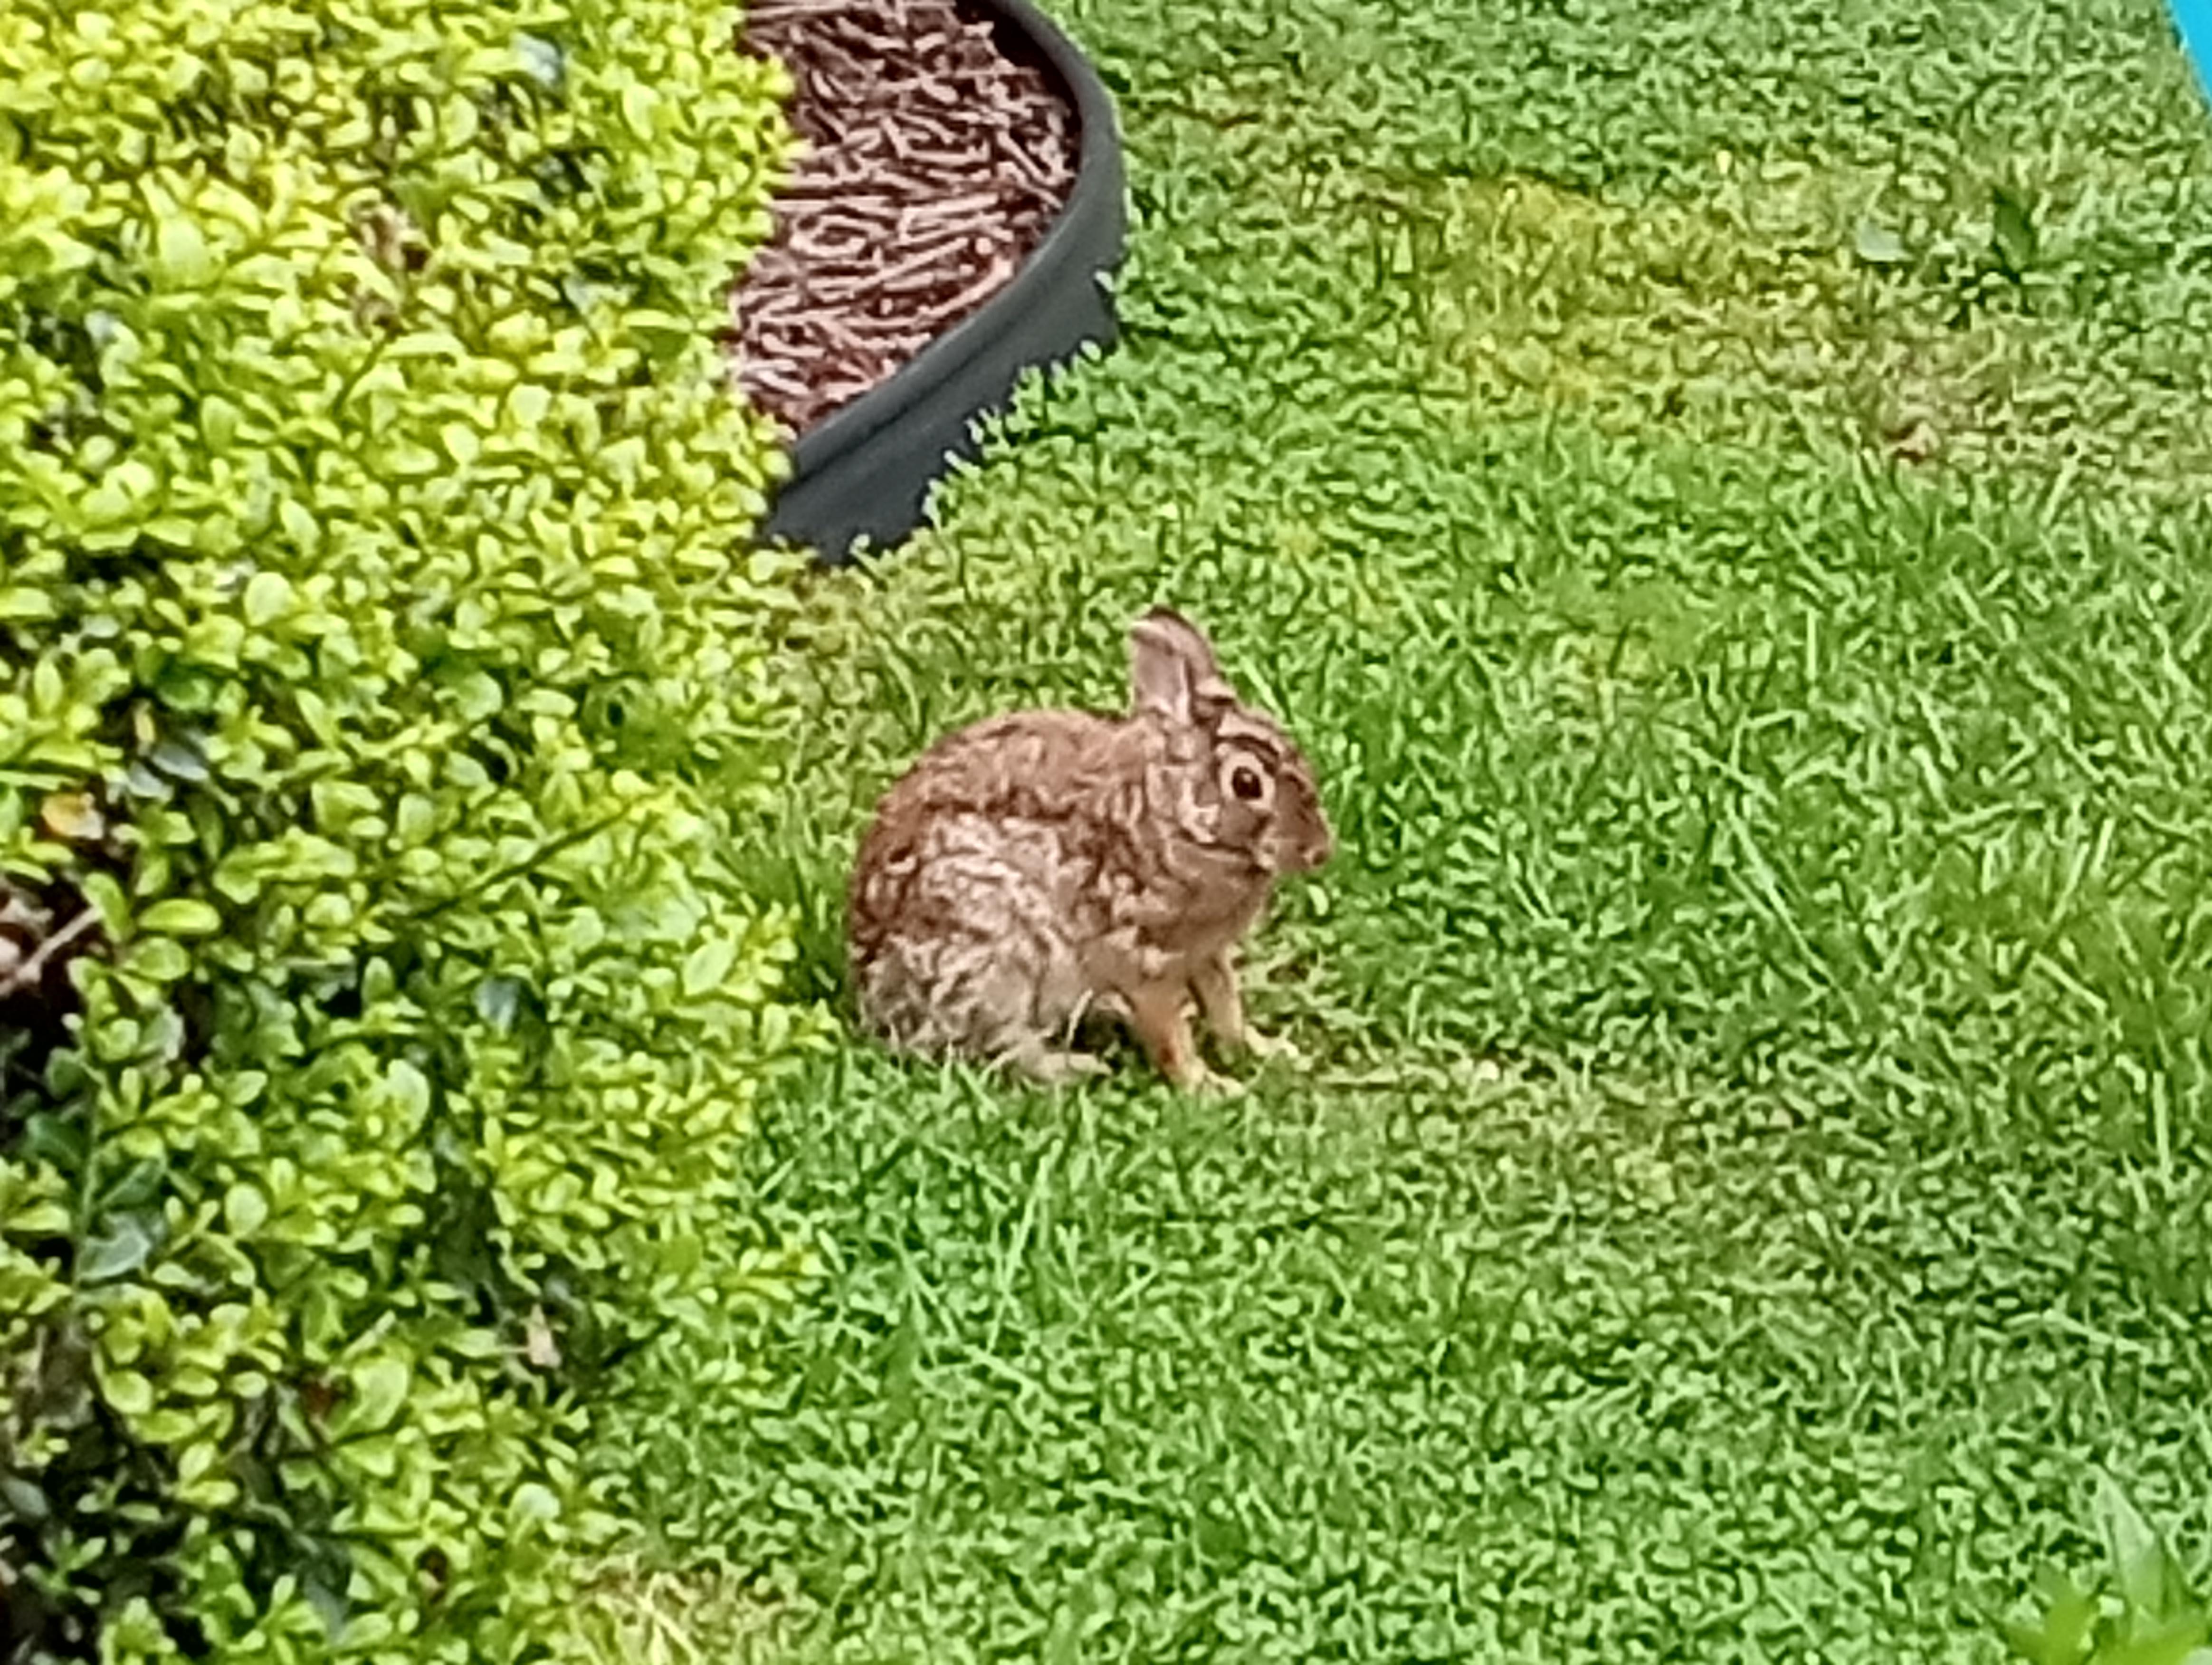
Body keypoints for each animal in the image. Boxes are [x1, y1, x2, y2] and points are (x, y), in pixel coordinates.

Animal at [845, 606, 1334, 1092]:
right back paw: (1076, 1067)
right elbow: (1170, 1034)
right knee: (996, 1045)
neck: (1178, 822)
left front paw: (1265, 1051)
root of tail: (872, 994)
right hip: (997, 952)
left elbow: (1226, 1004)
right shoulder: (1142, 958)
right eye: (1247, 783)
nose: (1319, 852)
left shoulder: (1207, 952)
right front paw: (1208, 1086)